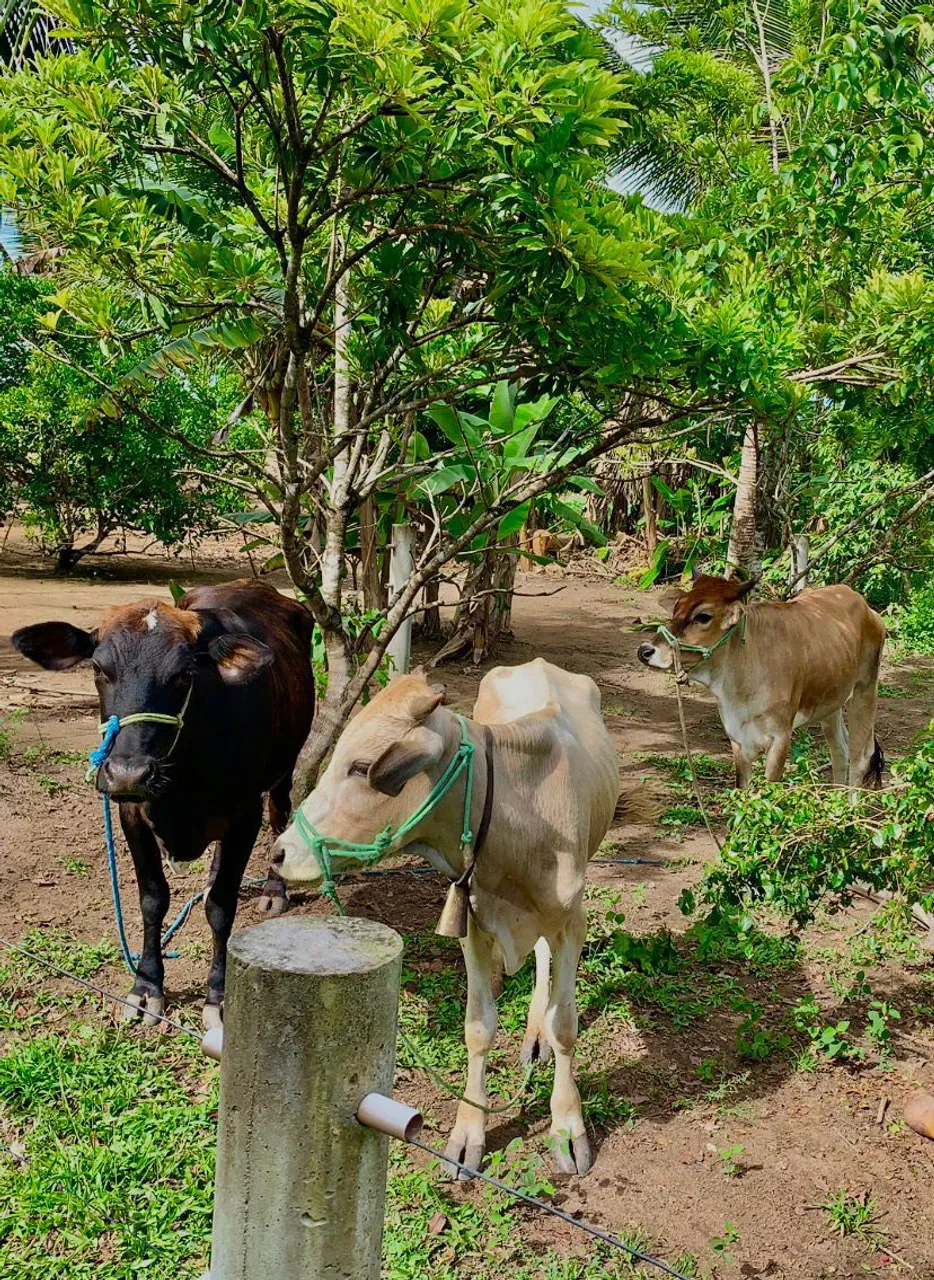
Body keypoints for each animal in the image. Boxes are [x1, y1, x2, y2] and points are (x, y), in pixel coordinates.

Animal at [11, 580, 315, 1028]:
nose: (128, 773)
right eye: (98, 668)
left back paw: (275, 888)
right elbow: (153, 900)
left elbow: (222, 908)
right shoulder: (131, 813)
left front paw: (218, 995)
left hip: (284, 766)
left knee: (281, 814)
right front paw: (146, 987)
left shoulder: (245, 815)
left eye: (183, 674)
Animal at [271, 658, 621, 1178]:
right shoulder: (473, 924)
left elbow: (564, 1025)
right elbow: (478, 1027)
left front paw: (567, 1124)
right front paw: (467, 1132)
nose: (279, 854)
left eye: (360, 767)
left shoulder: (571, 921)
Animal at [637, 574, 885, 790]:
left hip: (865, 690)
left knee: (861, 758)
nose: (645, 651)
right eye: (676, 608)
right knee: (840, 751)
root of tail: (865, 605)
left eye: (703, 616)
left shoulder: (781, 737)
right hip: (830, 703)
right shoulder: (738, 738)